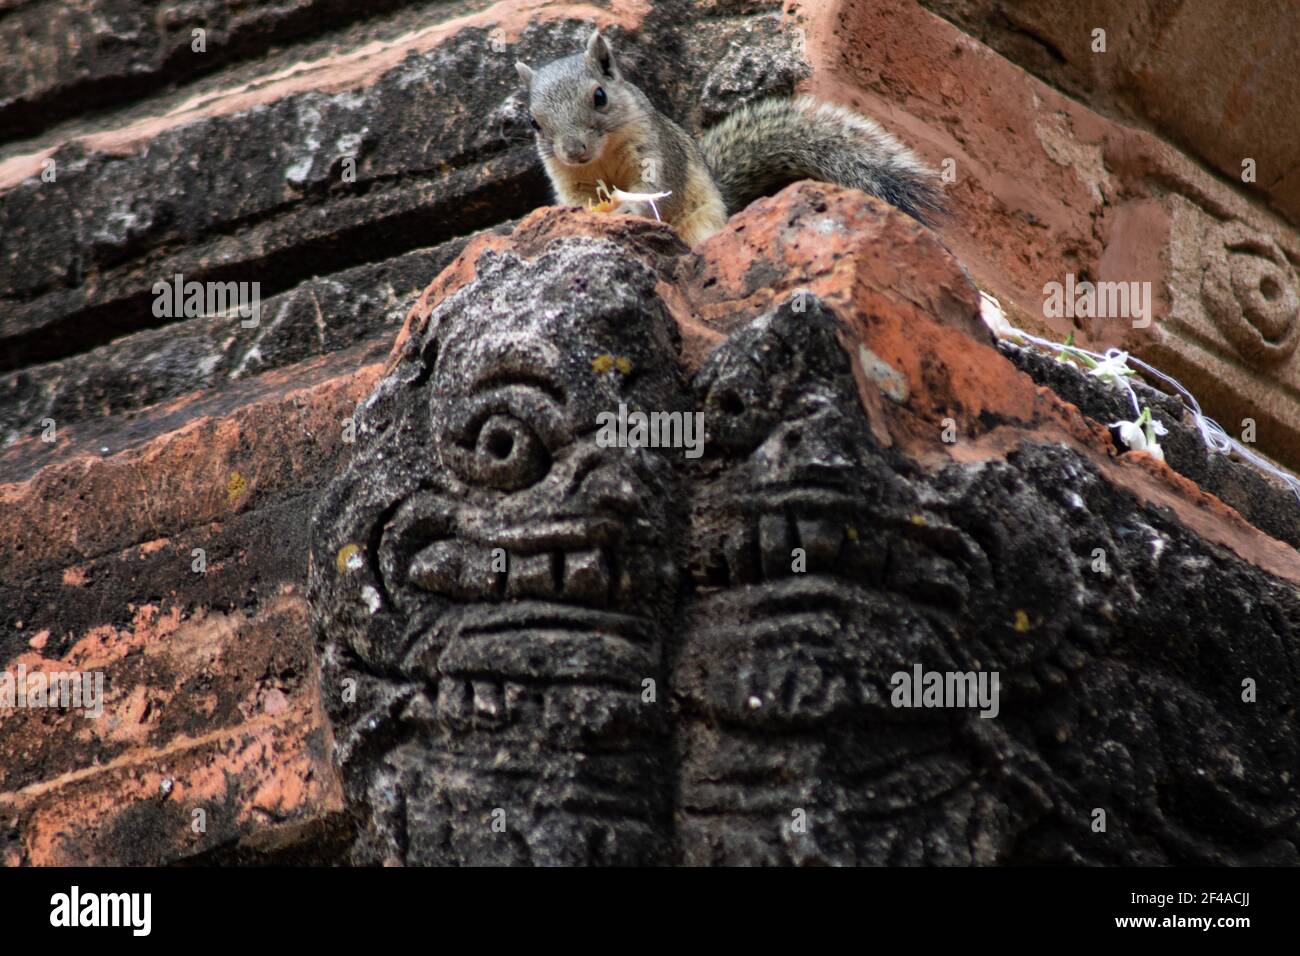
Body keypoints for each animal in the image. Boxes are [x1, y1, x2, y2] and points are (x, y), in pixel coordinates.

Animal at [515, 30, 945, 246]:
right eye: (534, 123)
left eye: (600, 97)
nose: (575, 151)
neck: (603, 157)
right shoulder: (570, 181)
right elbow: (578, 200)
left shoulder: (656, 153)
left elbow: (656, 192)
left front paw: (630, 210)